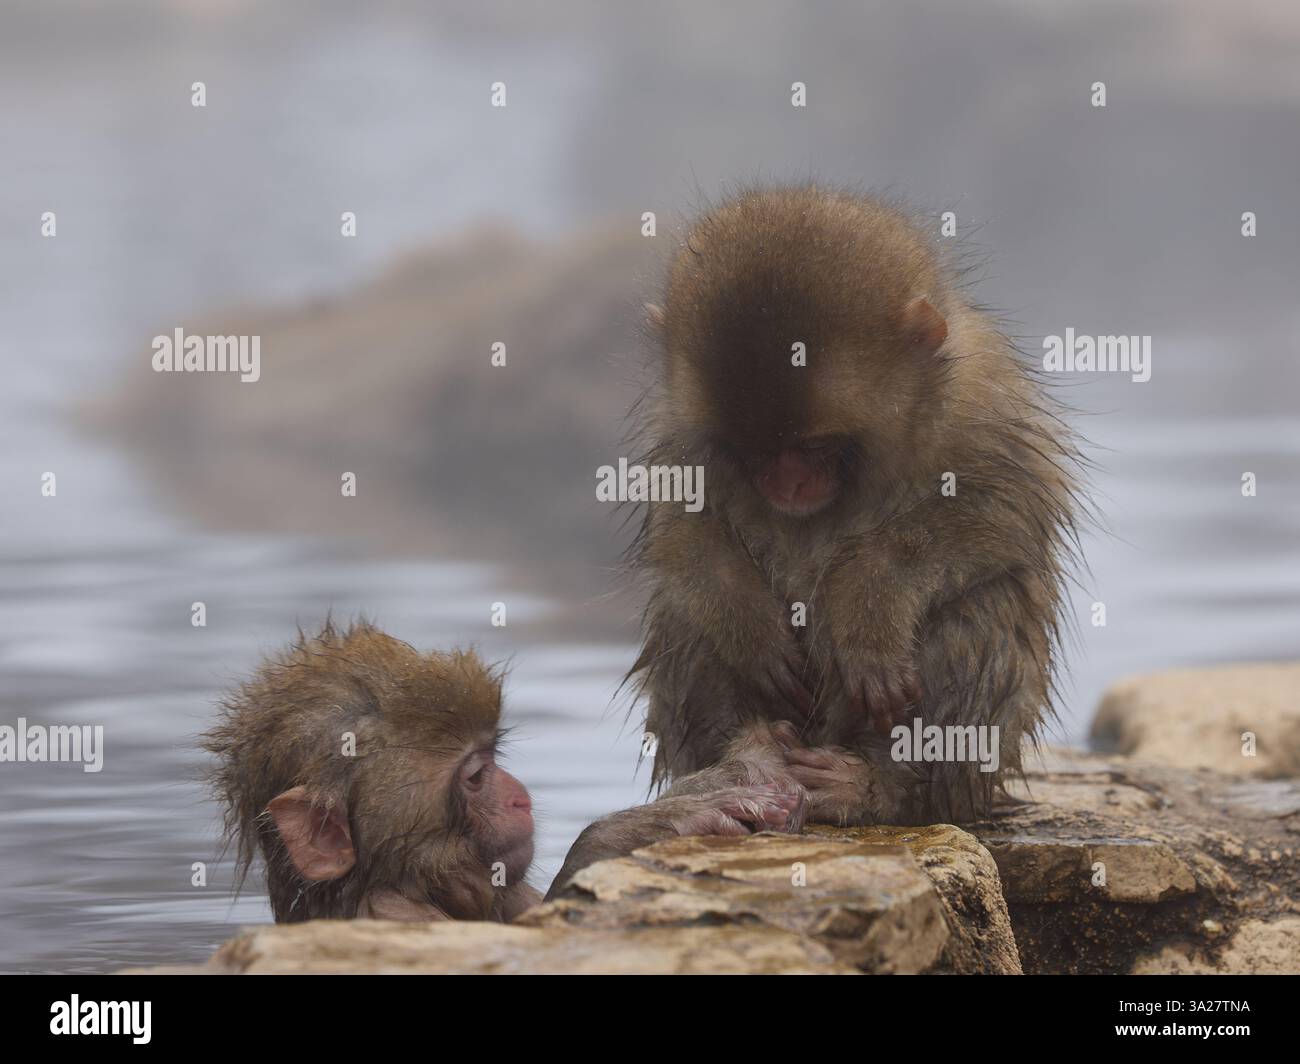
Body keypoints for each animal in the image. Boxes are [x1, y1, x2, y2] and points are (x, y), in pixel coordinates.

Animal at [628, 185, 1082, 826]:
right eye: (751, 450)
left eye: (815, 445)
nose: (787, 485)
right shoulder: (679, 428)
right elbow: (685, 530)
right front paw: (752, 632)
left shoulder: (984, 403)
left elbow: (1001, 516)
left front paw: (868, 606)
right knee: (684, 614)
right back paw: (749, 752)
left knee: (983, 604)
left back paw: (881, 788)